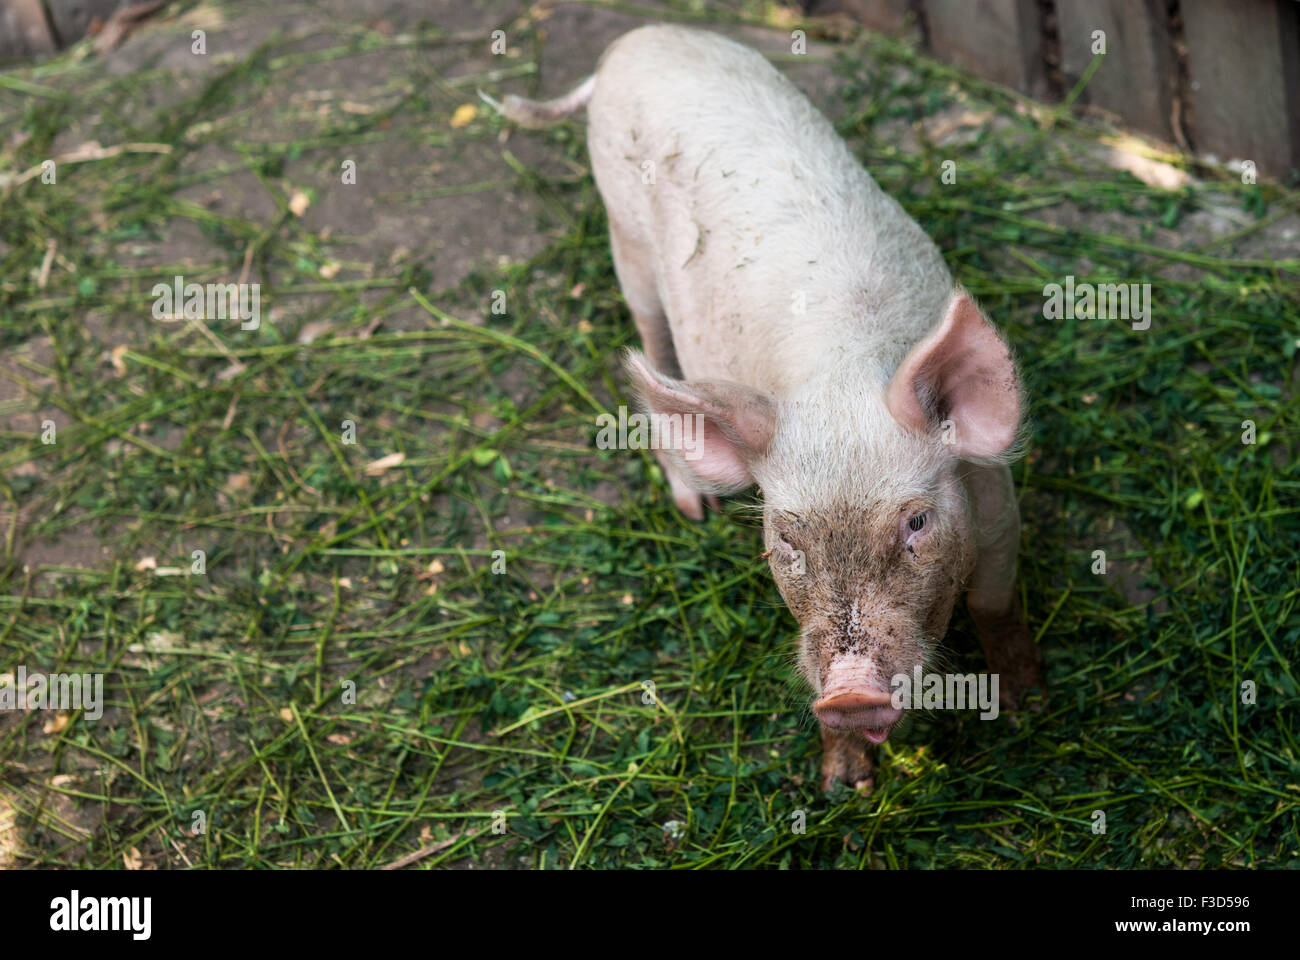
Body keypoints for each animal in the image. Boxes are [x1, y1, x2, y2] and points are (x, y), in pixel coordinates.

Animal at [488, 24, 1045, 790]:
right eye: (786, 537)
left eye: (917, 522)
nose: (849, 690)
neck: (839, 377)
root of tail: (633, 40)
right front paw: (841, 786)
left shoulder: (997, 507)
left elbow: (996, 604)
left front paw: (1026, 706)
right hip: (627, 242)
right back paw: (694, 508)